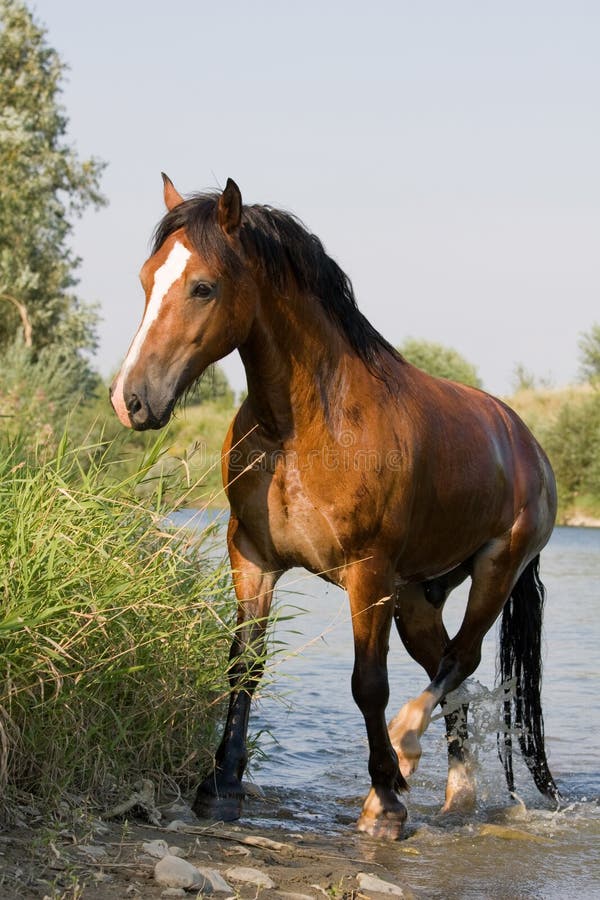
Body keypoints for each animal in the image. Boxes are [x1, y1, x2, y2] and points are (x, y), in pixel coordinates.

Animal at [110, 175, 560, 839]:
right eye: (147, 279)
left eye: (202, 286)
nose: (131, 399)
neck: (302, 428)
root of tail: (528, 445)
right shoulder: (251, 556)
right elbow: (244, 668)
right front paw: (219, 788)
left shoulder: (366, 573)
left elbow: (368, 684)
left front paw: (386, 802)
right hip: (417, 598)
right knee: (450, 668)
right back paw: (457, 796)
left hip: (494, 571)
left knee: (461, 656)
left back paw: (405, 748)